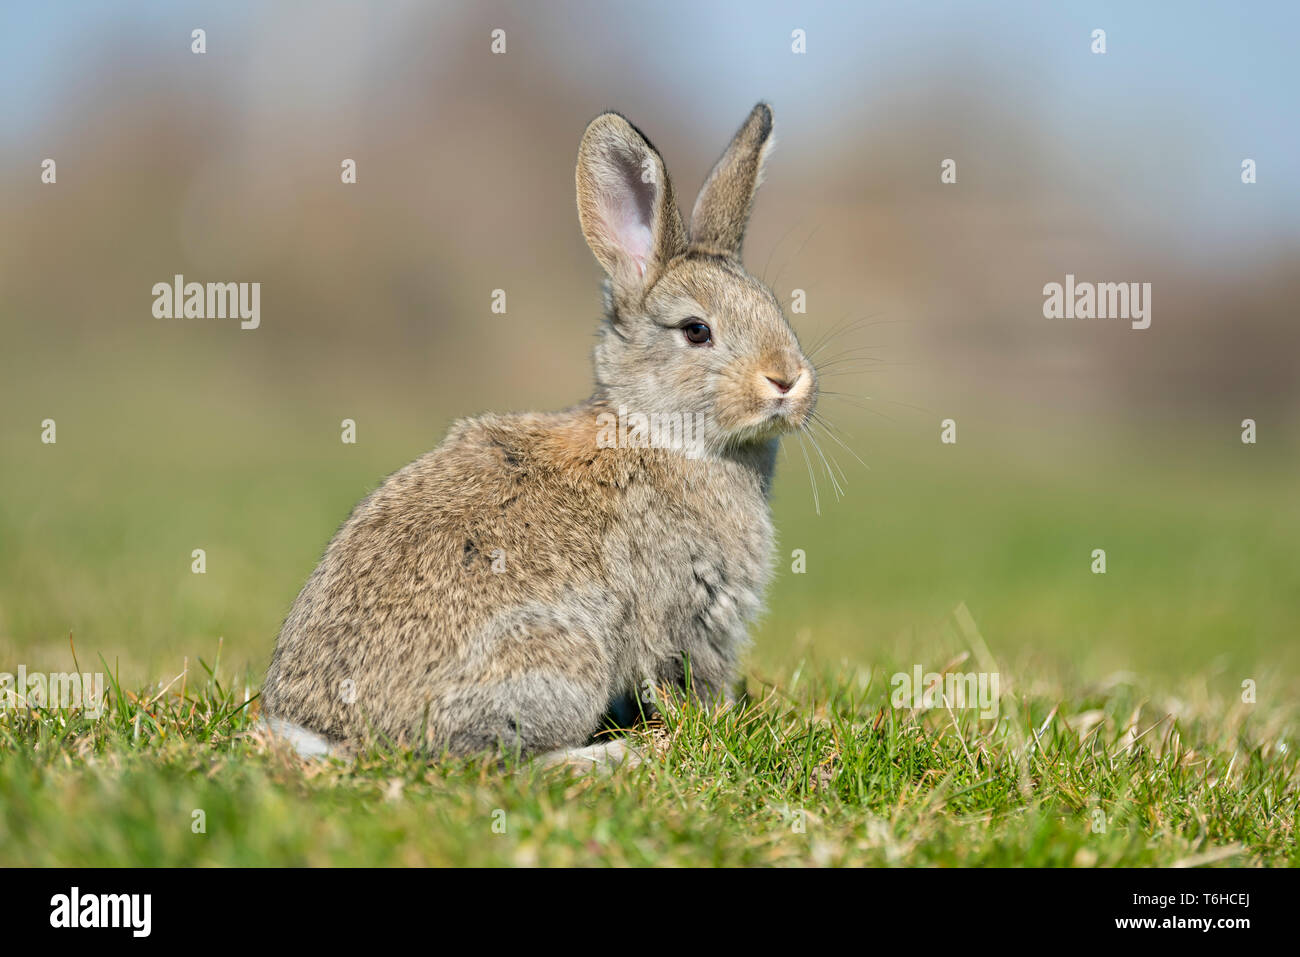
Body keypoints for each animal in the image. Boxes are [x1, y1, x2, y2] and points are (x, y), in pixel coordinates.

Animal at [260, 102, 818, 764]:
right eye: (696, 331)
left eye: (776, 308)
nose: (787, 380)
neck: (660, 431)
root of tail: (332, 735)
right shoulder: (689, 615)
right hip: (557, 660)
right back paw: (610, 757)